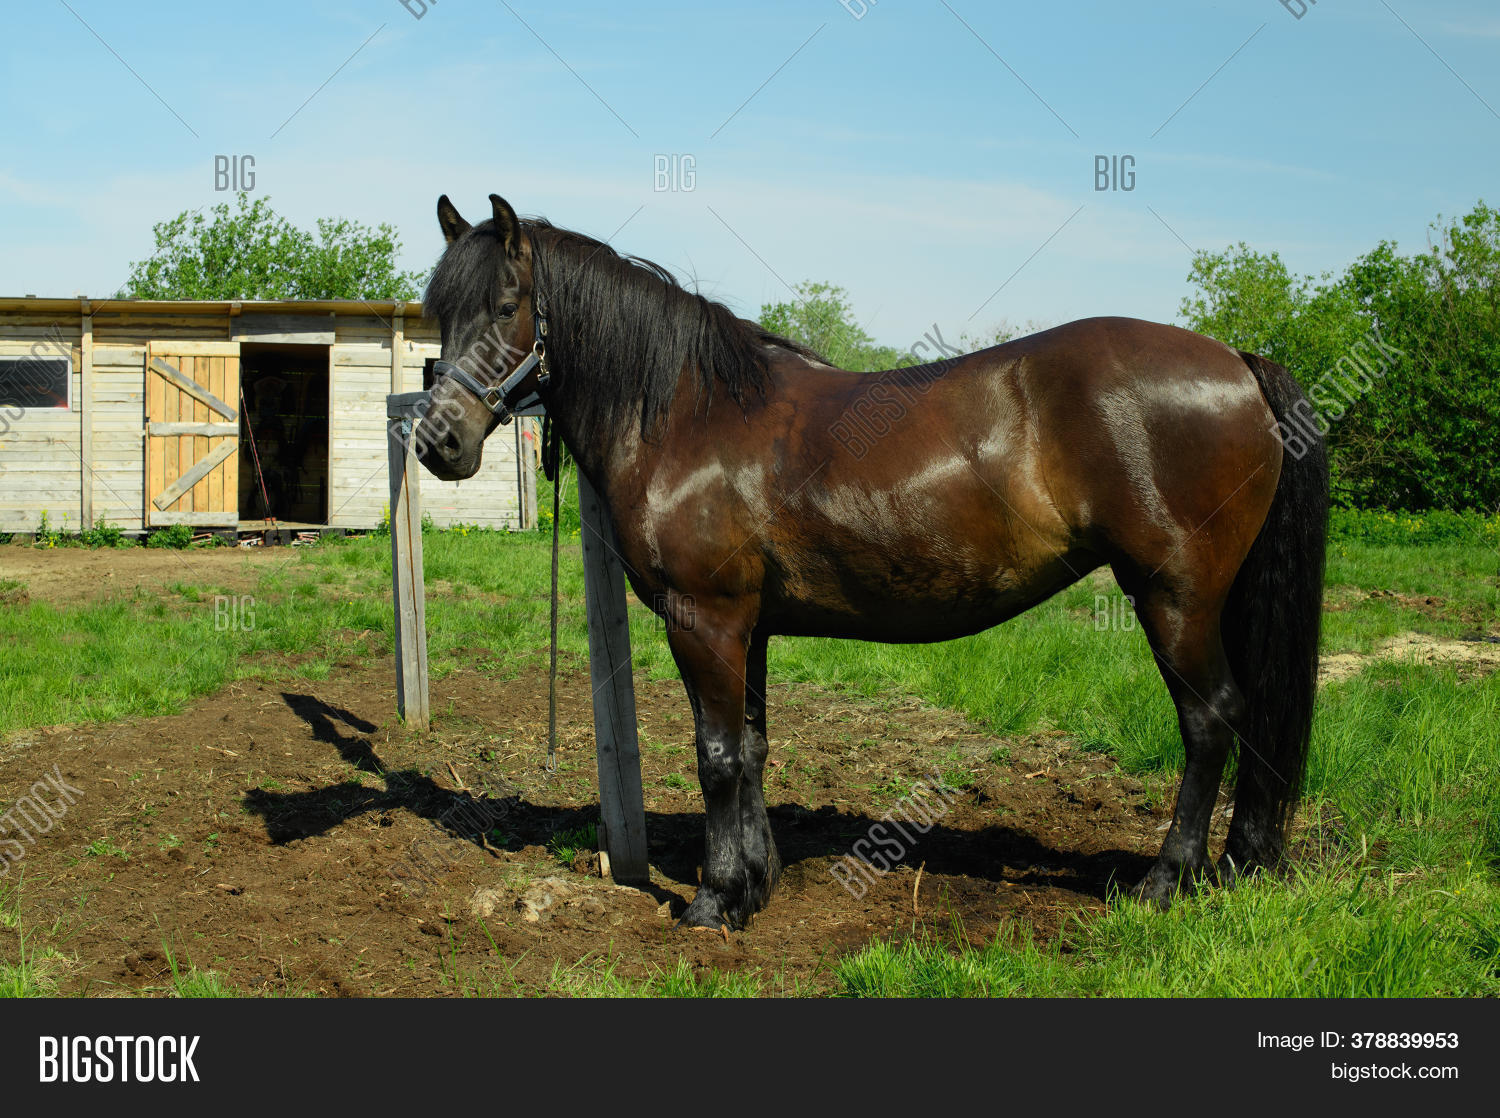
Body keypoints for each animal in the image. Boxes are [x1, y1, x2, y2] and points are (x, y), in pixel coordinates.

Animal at [415, 193, 1329, 931]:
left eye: (506, 304)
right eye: (436, 312)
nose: (437, 442)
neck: (690, 414)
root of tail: (1237, 363)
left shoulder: (704, 620)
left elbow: (716, 756)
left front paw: (714, 899)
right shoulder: (749, 629)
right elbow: (752, 748)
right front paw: (757, 884)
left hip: (1175, 598)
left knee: (1210, 719)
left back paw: (1165, 881)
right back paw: (1229, 866)